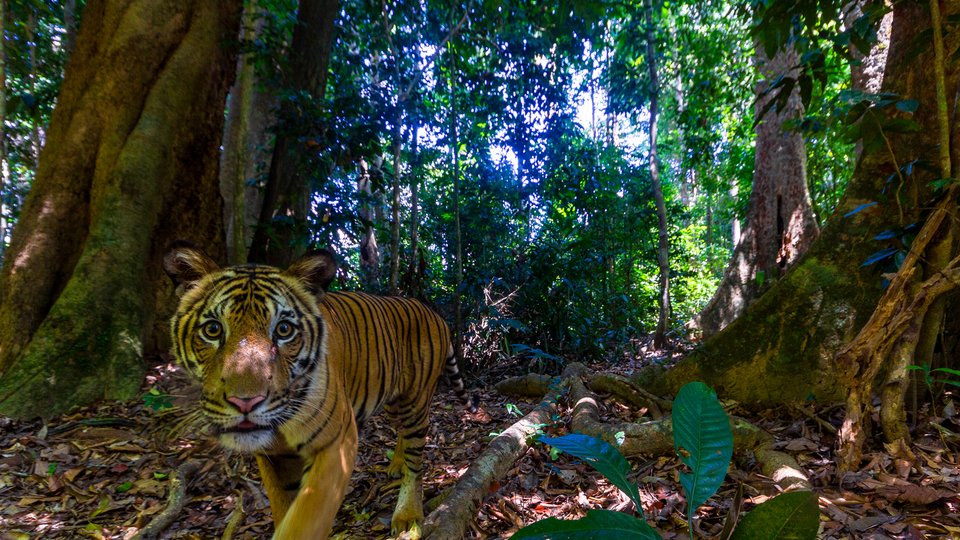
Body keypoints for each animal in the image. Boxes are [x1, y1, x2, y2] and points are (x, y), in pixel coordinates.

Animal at [163, 243, 472, 539]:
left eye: (284, 330)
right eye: (213, 330)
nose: (245, 402)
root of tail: (432, 311)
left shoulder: (336, 443)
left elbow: (304, 520)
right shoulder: (272, 456)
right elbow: (283, 508)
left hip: (414, 402)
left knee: (415, 460)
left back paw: (407, 515)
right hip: (393, 401)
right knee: (403, 437)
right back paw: (396, 463)